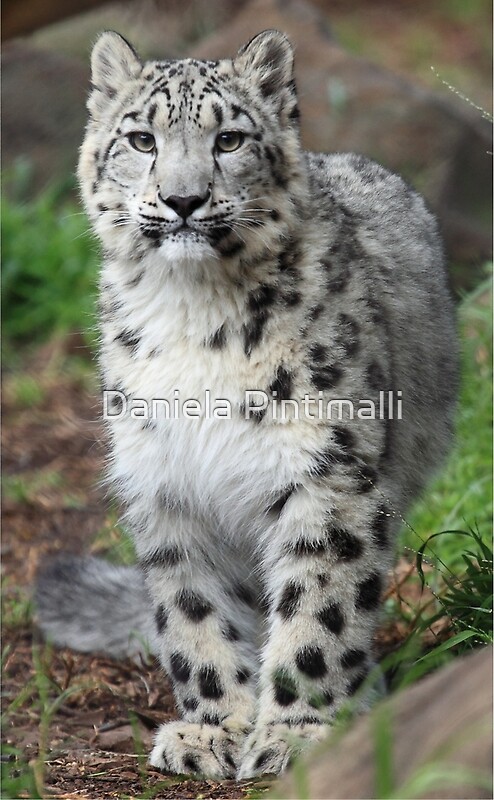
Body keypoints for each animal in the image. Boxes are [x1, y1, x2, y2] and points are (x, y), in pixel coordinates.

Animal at [35, 29, 458, 780]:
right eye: (141, 138)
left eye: (229, 139)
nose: (183, 199)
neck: (192, 310)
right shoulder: (167, 480)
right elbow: (194, 610)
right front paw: (214, 730)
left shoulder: (328, 473)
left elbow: (321, 607)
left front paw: (297, 731)